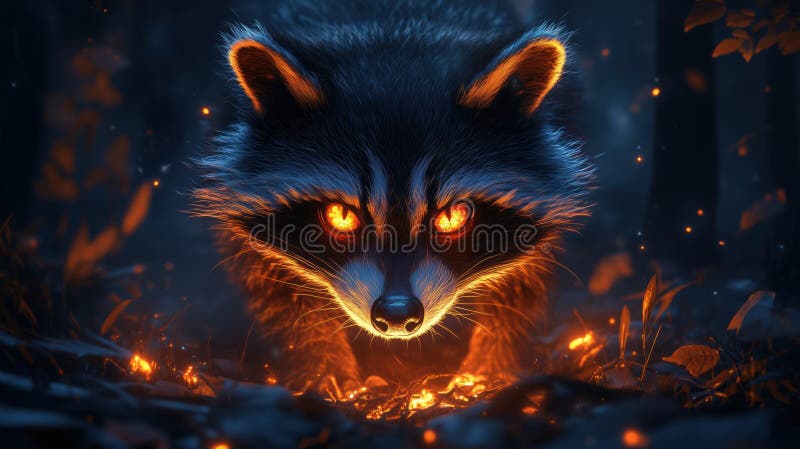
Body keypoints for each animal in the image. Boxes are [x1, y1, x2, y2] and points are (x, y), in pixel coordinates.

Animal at [194, 0, 592, 396]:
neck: (394, 33)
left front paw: (489, 364)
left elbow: (520, 288)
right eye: (341, 216)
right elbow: (277, 292)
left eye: (452, 217)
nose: (398, 315)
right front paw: (322, 363)